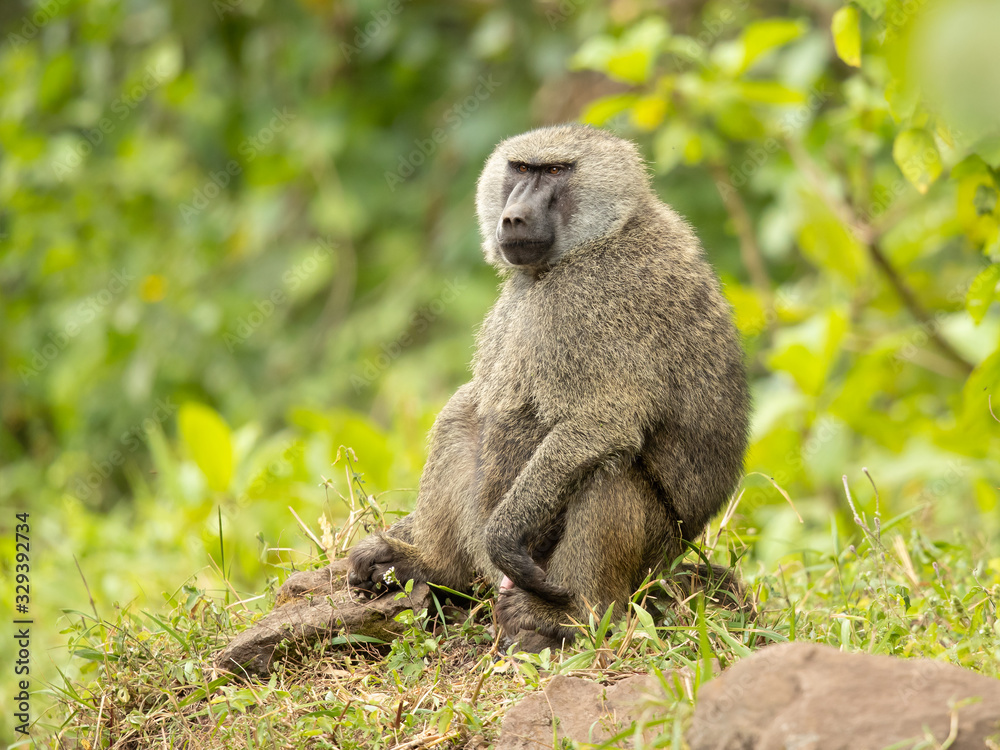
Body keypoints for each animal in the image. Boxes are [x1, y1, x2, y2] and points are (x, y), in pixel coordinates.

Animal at [347, 124, 751, 649]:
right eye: (521, 168)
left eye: (556, 171)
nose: (513, 216)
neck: (601, 237)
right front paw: (406, 536)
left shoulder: (596, 296)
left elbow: (603, 421)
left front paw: (504, 535)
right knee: (463, 413)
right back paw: (433, 568)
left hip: (647, 558)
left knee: (608, 470)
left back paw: (568, 614)